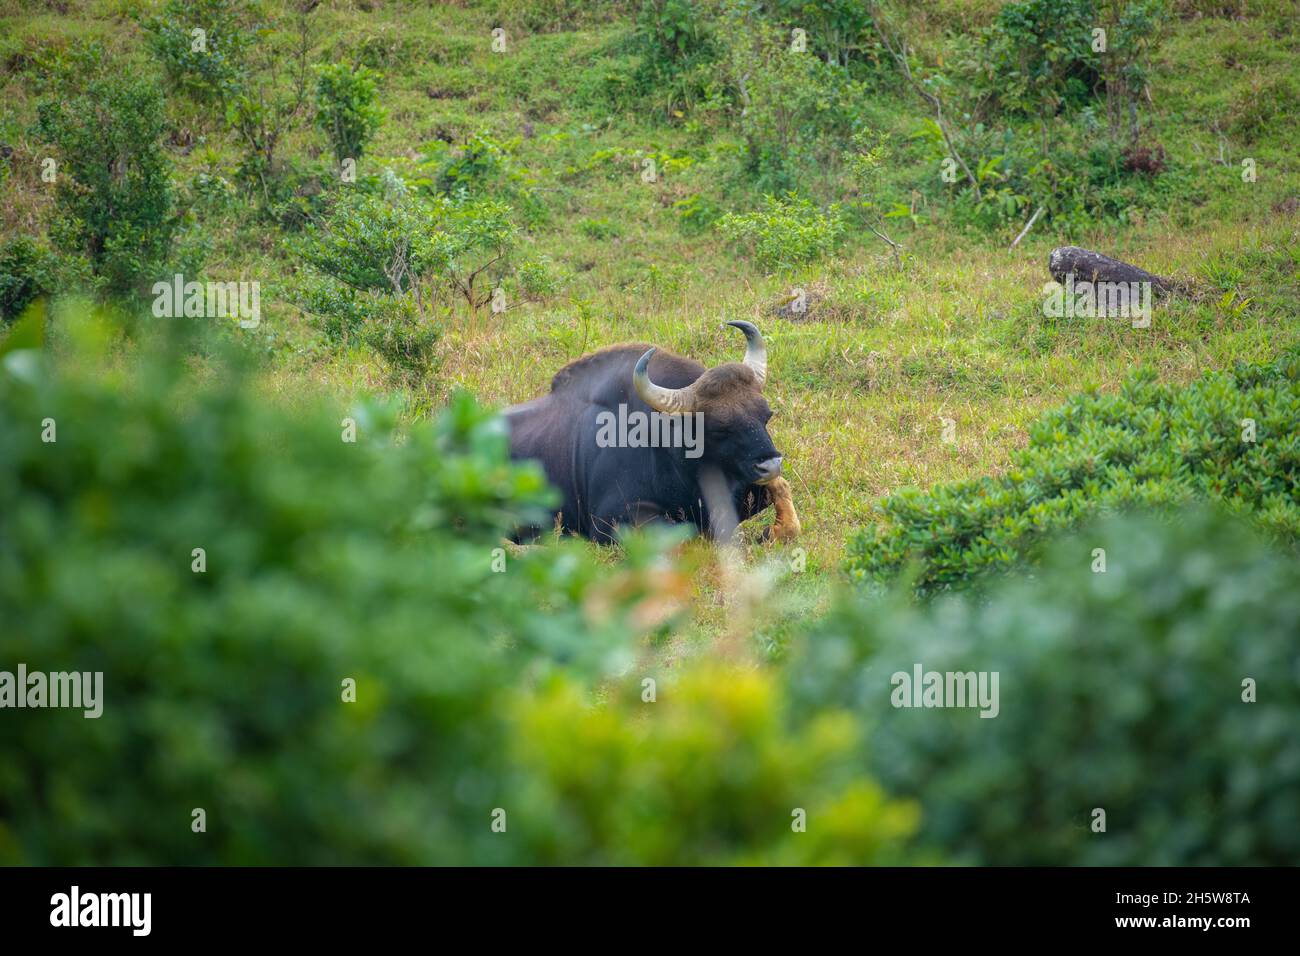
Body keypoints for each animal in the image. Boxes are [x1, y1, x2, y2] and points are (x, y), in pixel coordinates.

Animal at [505, 321, 801, 544]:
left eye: (766, 415)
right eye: (719, 427)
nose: (770, 464)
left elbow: (784, 498)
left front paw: (770, 531)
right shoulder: (610, 520)